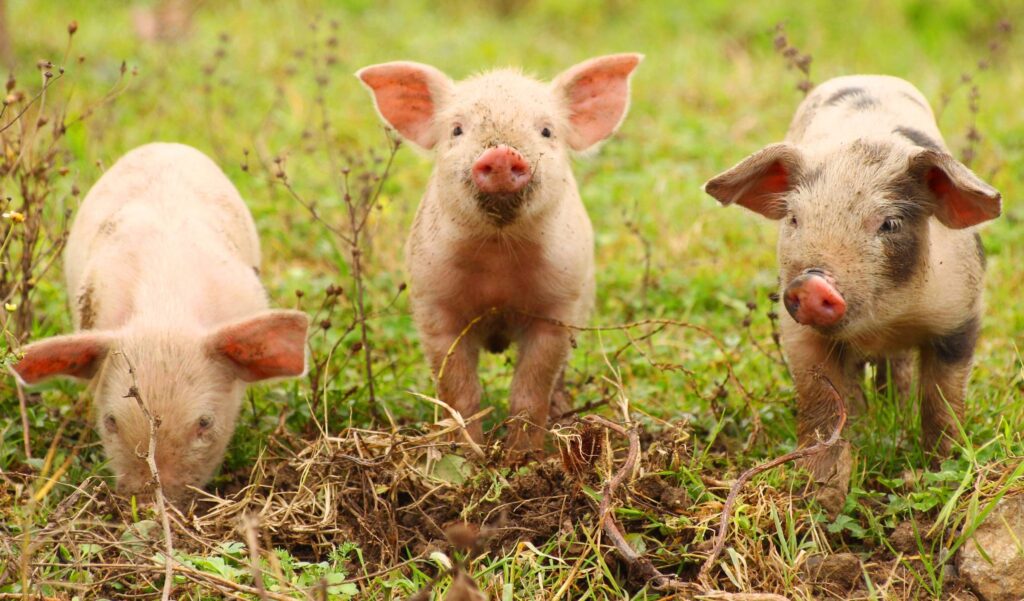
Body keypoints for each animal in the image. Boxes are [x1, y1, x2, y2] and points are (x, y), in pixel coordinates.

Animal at [357, 54, 642, 456]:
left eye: (546, 131)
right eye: (457, 130)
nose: (502, 153)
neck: (498, 259)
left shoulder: (558, 309)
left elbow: (529, 392)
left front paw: (522, 457)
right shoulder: (434, 305)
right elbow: (459, 393)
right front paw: (468, 455)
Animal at [704, 75, 1001, 510]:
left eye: (890, 223)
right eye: (795, 219)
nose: (812, 282)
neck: (883, 321)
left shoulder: (960, 314)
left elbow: (943, 402)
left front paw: (937, 471)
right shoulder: (800, 334)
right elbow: (821, 406)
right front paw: (820, 494)